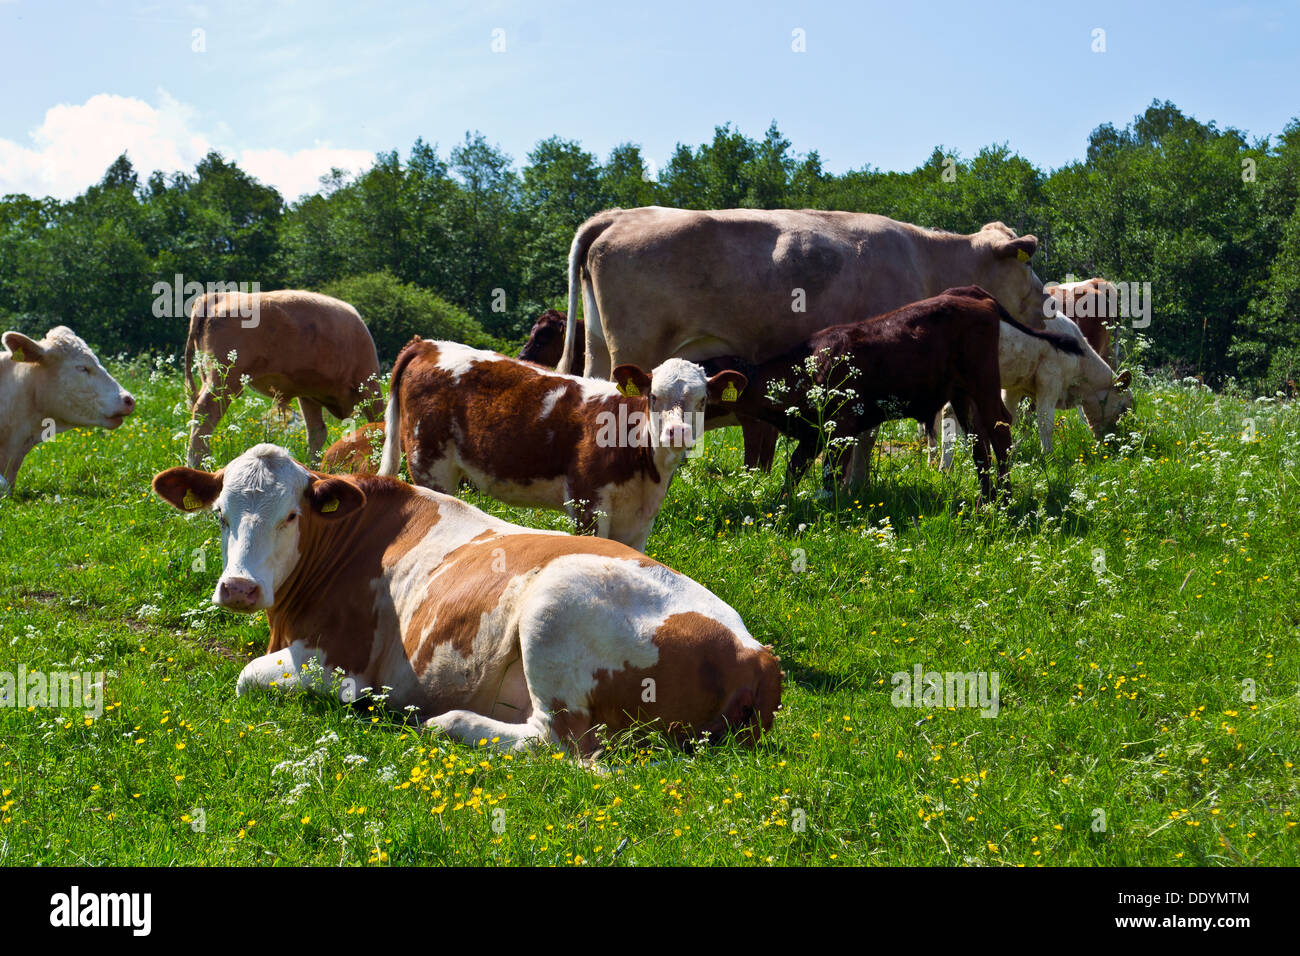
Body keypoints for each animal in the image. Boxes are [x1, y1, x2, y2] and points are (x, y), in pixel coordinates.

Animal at [152, 444, 782, 756]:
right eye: (220, 514)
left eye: (291, 515)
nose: (239, 587)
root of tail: (754, 650)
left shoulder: (337, 659)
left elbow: (248, 677)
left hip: (554, 604)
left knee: (558, 743)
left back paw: (447, 722)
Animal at [184, 289, 384, 469]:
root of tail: (215, 296)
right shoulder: (369, 384)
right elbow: (378, 424)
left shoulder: (309, 395)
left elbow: (317, 434)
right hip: (224, 378)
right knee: (204, 413)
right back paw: (198, 464)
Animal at [378, 339, 746, 552]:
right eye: (653, 397)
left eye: (702, 400)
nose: (677, 432)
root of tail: (427, 344)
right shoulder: (587, 504)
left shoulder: (641, 523)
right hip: (429, 463)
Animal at [556, 207, 1061, 480]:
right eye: (1026, 265)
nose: (1046, 302)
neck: (926, 258)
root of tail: (620, 215)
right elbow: (865, 436)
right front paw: (855, 486)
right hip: (635, 349)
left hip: (599, 349)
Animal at [703, 287, 1083, 501]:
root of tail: (974, 295)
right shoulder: (811, 435)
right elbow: (793, 471)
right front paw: (783, 505)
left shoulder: (840, 430)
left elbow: (830, 475)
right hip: (961, 393)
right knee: (978, 439)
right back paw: (985, 496)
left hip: (984, 383)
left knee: (999, 429)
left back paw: (1003, 500)